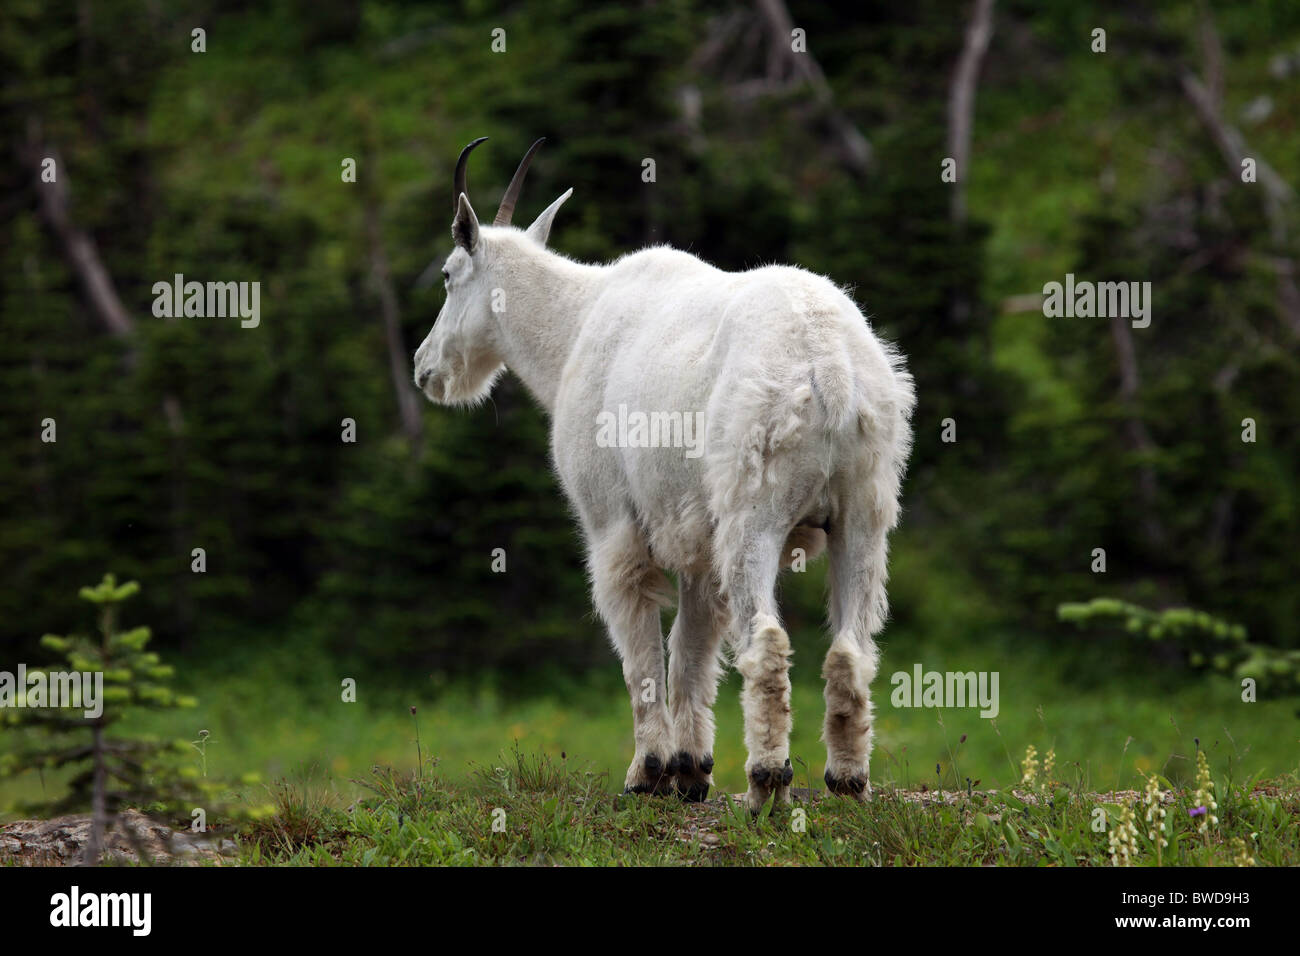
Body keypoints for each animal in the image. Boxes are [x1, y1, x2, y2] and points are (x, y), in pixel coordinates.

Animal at [413, 138, 915, 812]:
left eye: (447, 275)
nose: (425, 369)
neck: (573, 328)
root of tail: (831, 370)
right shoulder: (697, 542)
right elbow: (691, 645)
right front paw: (691, 771)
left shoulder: (613, 524)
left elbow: (642, 648)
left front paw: (648, 772)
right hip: (864, 509)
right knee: (851, 648)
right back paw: (848, 783)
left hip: (754, 513)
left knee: (766, 643)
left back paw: (767, 784)